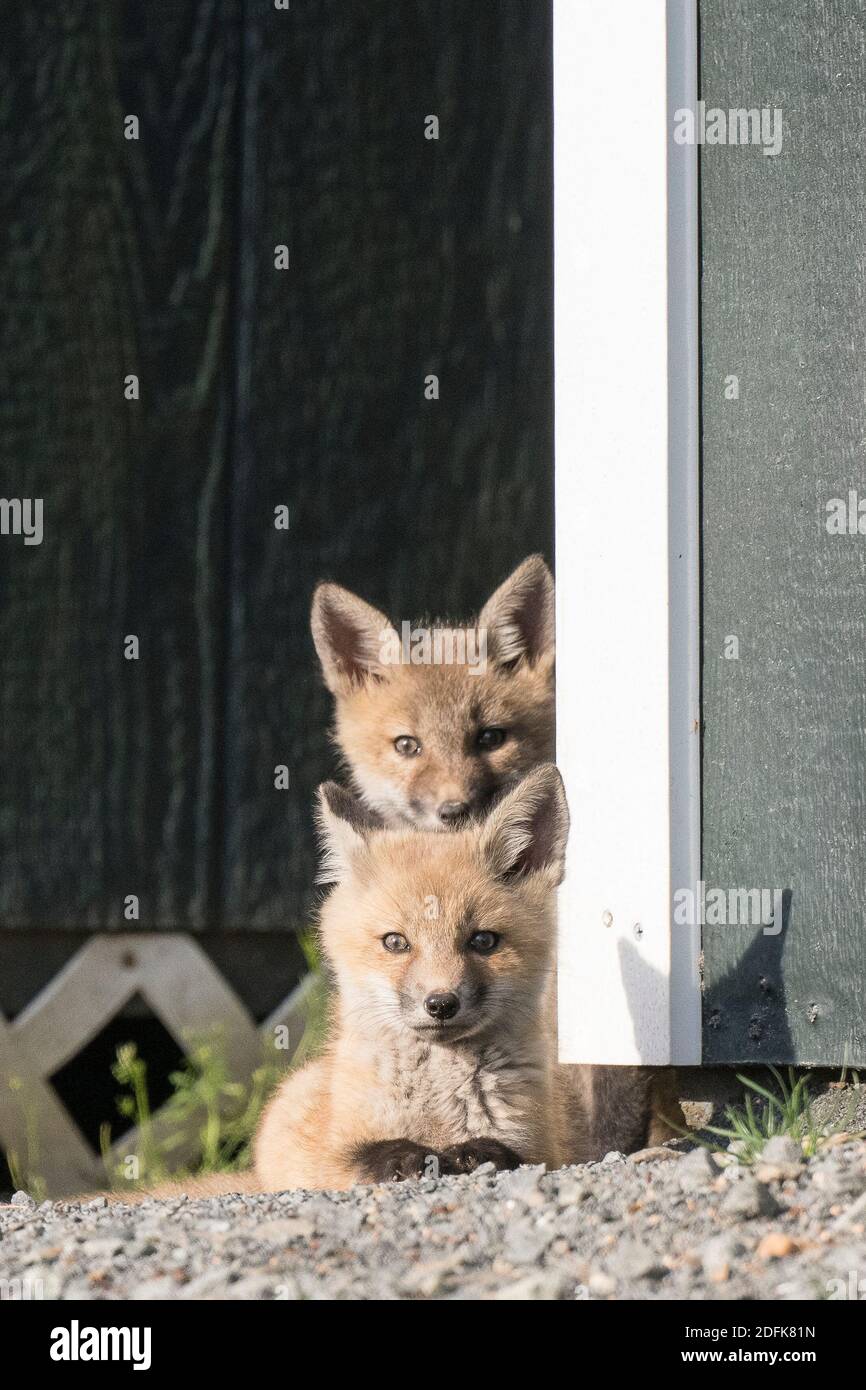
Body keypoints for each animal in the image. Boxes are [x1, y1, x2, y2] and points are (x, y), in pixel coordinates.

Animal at [254, 765, 588, 1190]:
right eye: (396, 942)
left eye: (483, 940)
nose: (441, 1003)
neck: (439, 1104)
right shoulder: (332, 1157)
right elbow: (367, 1155)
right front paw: (409, 1157)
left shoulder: (547, 1150)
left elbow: (509, 1152)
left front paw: (476, 1152)